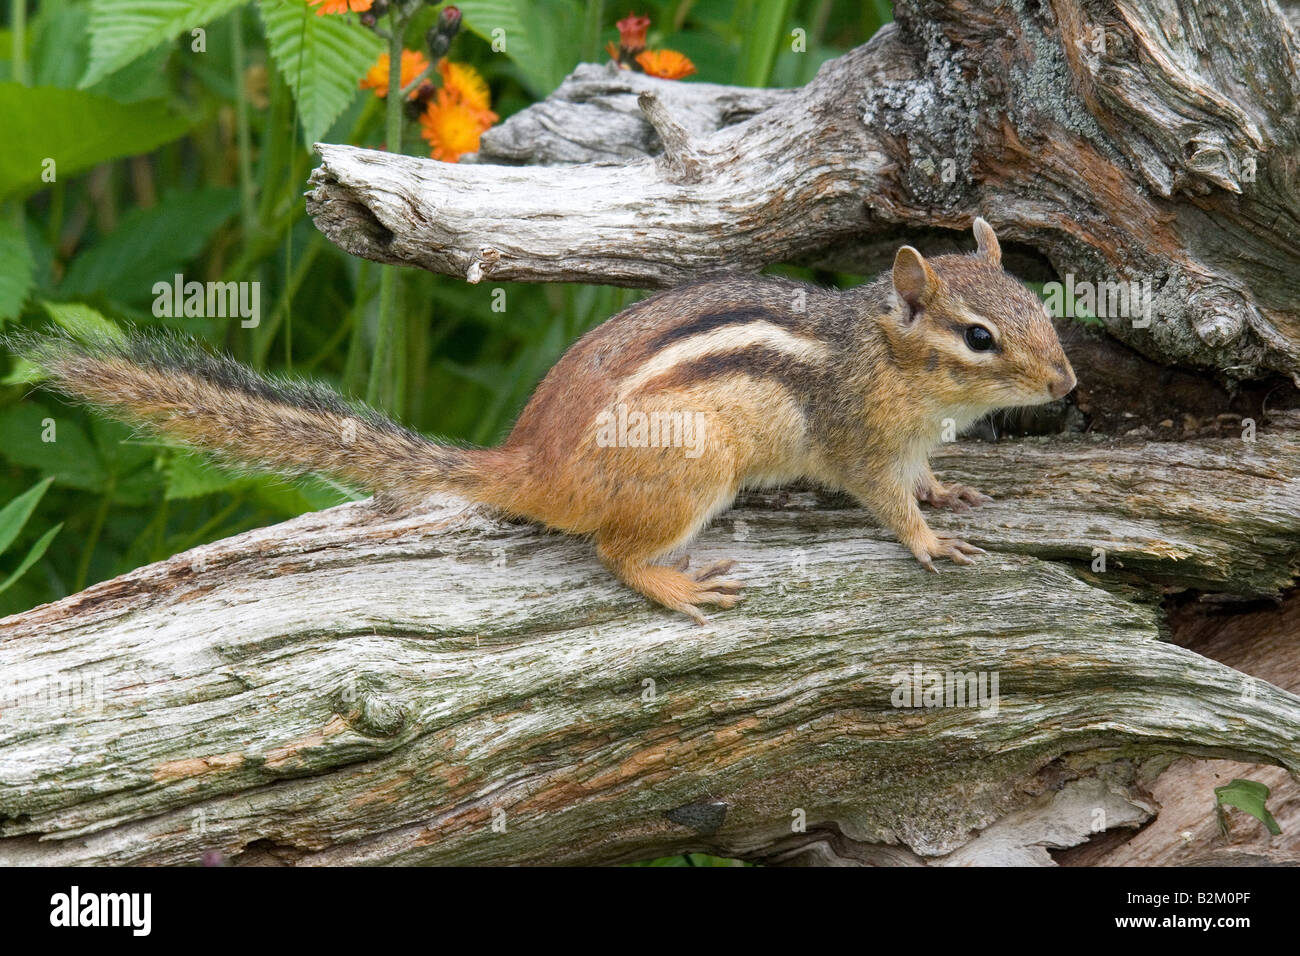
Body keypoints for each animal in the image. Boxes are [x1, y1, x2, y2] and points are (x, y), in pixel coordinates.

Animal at [12, 218, 1074, 623]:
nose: (1067, 383)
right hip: (693, 470)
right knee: (613, 553)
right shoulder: (860, 444)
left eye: (1036, 302)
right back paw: (677, 586)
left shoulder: (909, 444)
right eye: (980, 336)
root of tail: (533, 464)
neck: (885, 359)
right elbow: (885, 502)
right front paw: (930, 541)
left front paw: (954, 492)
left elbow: (925, 478)